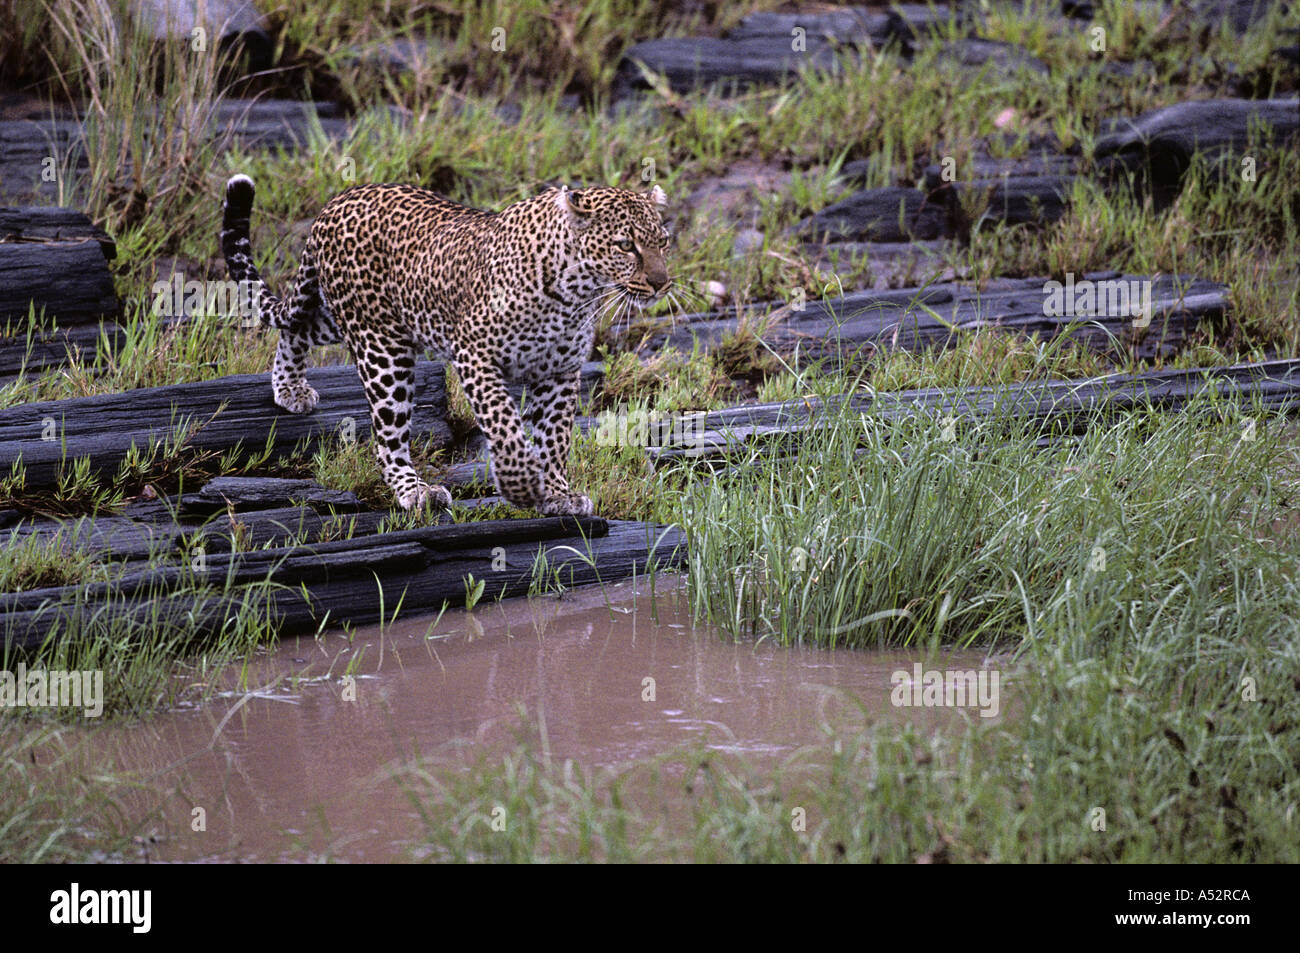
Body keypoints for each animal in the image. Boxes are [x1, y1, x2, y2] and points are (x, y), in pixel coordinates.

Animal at [221, 176, 672, 516]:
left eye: (663, 242)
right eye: (625, 245)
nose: (661, 282)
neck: (576, 292)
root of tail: (336, 201)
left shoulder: (559, 372)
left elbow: (555, 438)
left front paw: (558, 493)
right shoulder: (476, 355)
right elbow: (506, 427)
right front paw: (522, 487)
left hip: (348, 317)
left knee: (298, 327)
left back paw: (289, 388)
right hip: (381, 345)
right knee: (387, 437)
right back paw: (415, 491)